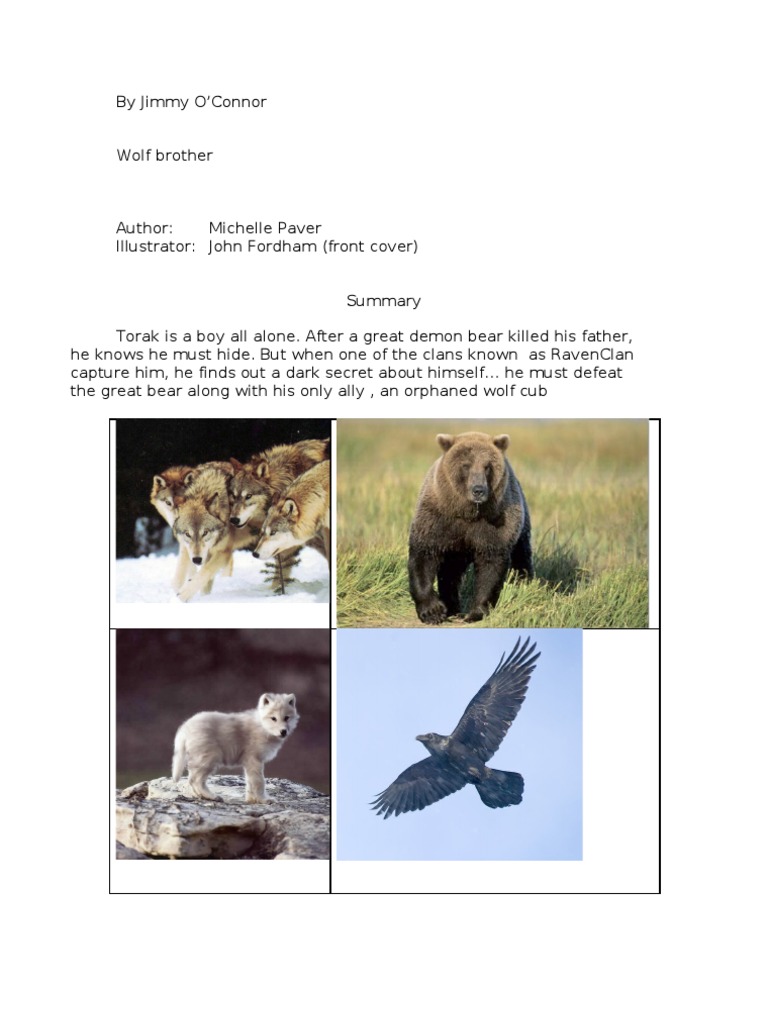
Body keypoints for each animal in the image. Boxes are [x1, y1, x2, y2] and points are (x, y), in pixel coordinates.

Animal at [172, 693, 300, 803]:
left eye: (286, 718)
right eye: (273, 718)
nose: (283, 731)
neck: (262, 727)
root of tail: (185, 726)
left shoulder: (250, 763)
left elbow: (250, 782)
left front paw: (251, 800)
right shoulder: (254, 759)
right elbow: (259, 782)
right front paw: (263, 800)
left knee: (192, 779)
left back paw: (201, 796)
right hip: (210, 758)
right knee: (195, 780)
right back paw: (212, 796)